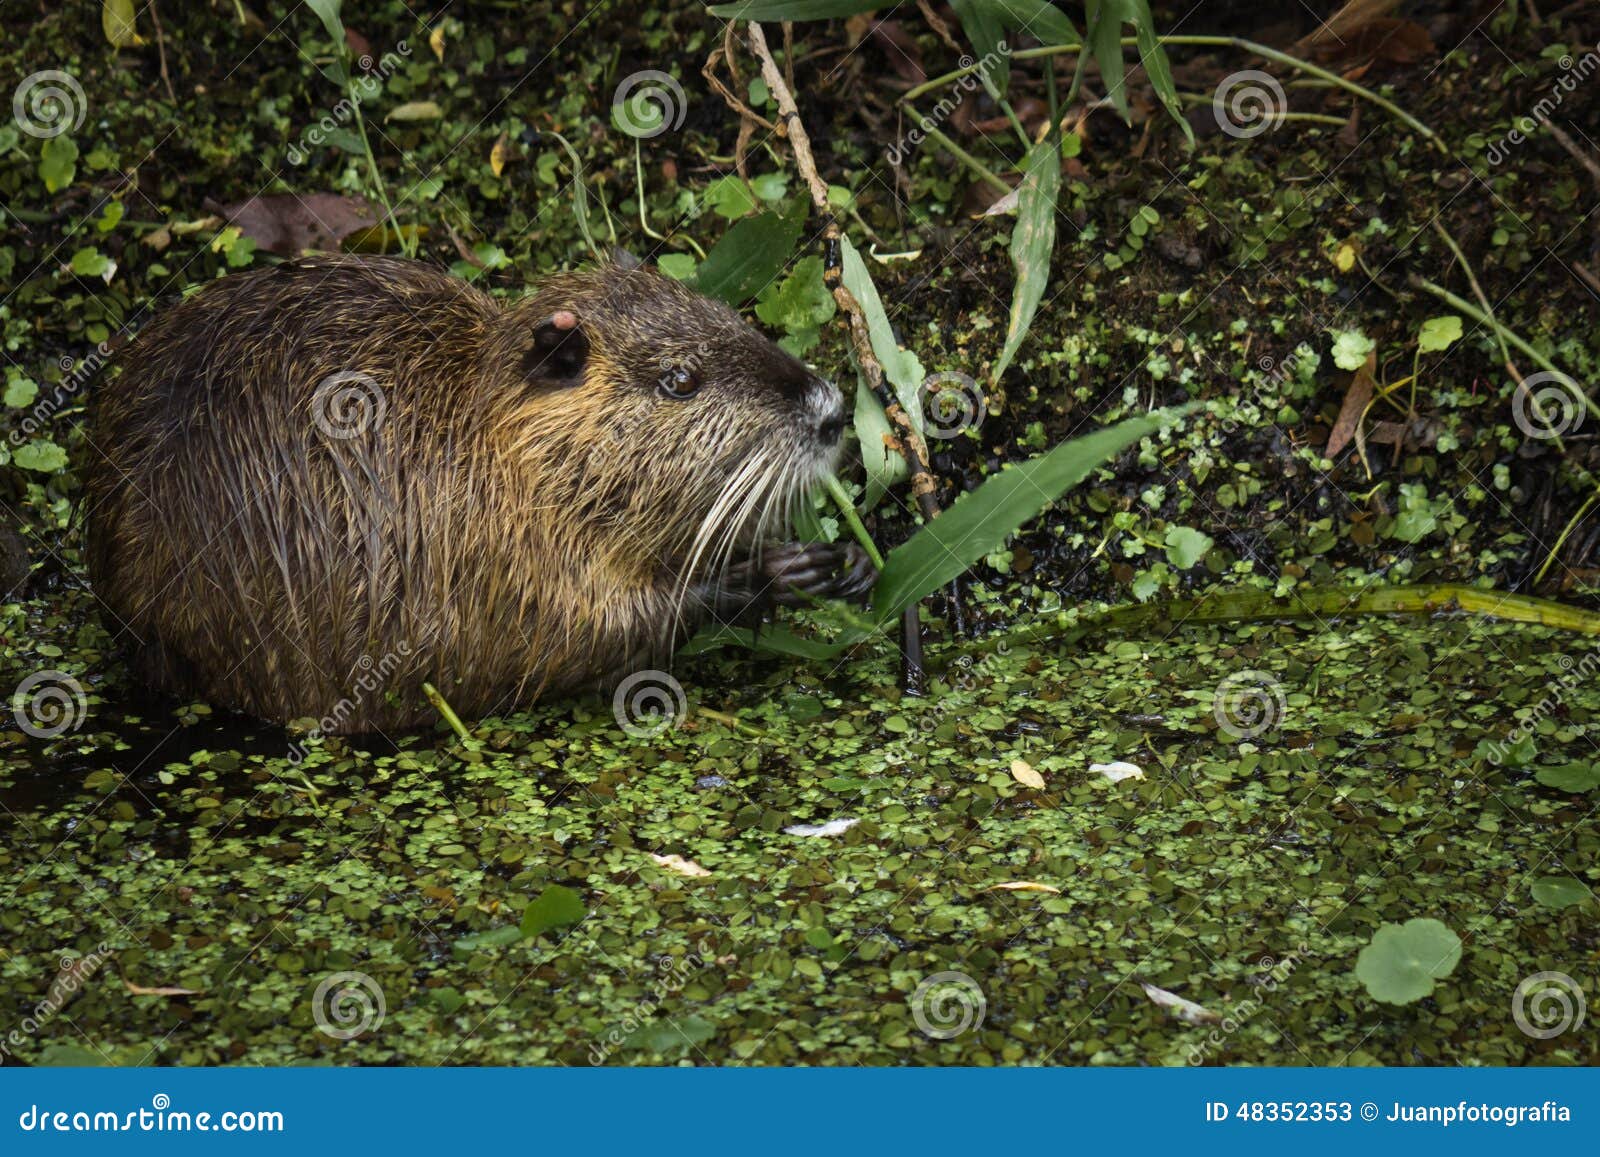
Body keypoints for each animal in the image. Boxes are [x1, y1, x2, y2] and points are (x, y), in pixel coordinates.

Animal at [85, 255, 872, 733]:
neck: (474, 436)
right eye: (680, 379)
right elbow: (600, 632)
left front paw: (851, 564)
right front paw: (773, 571)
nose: (832, 410)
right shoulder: (492, 565)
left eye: (731, 318)